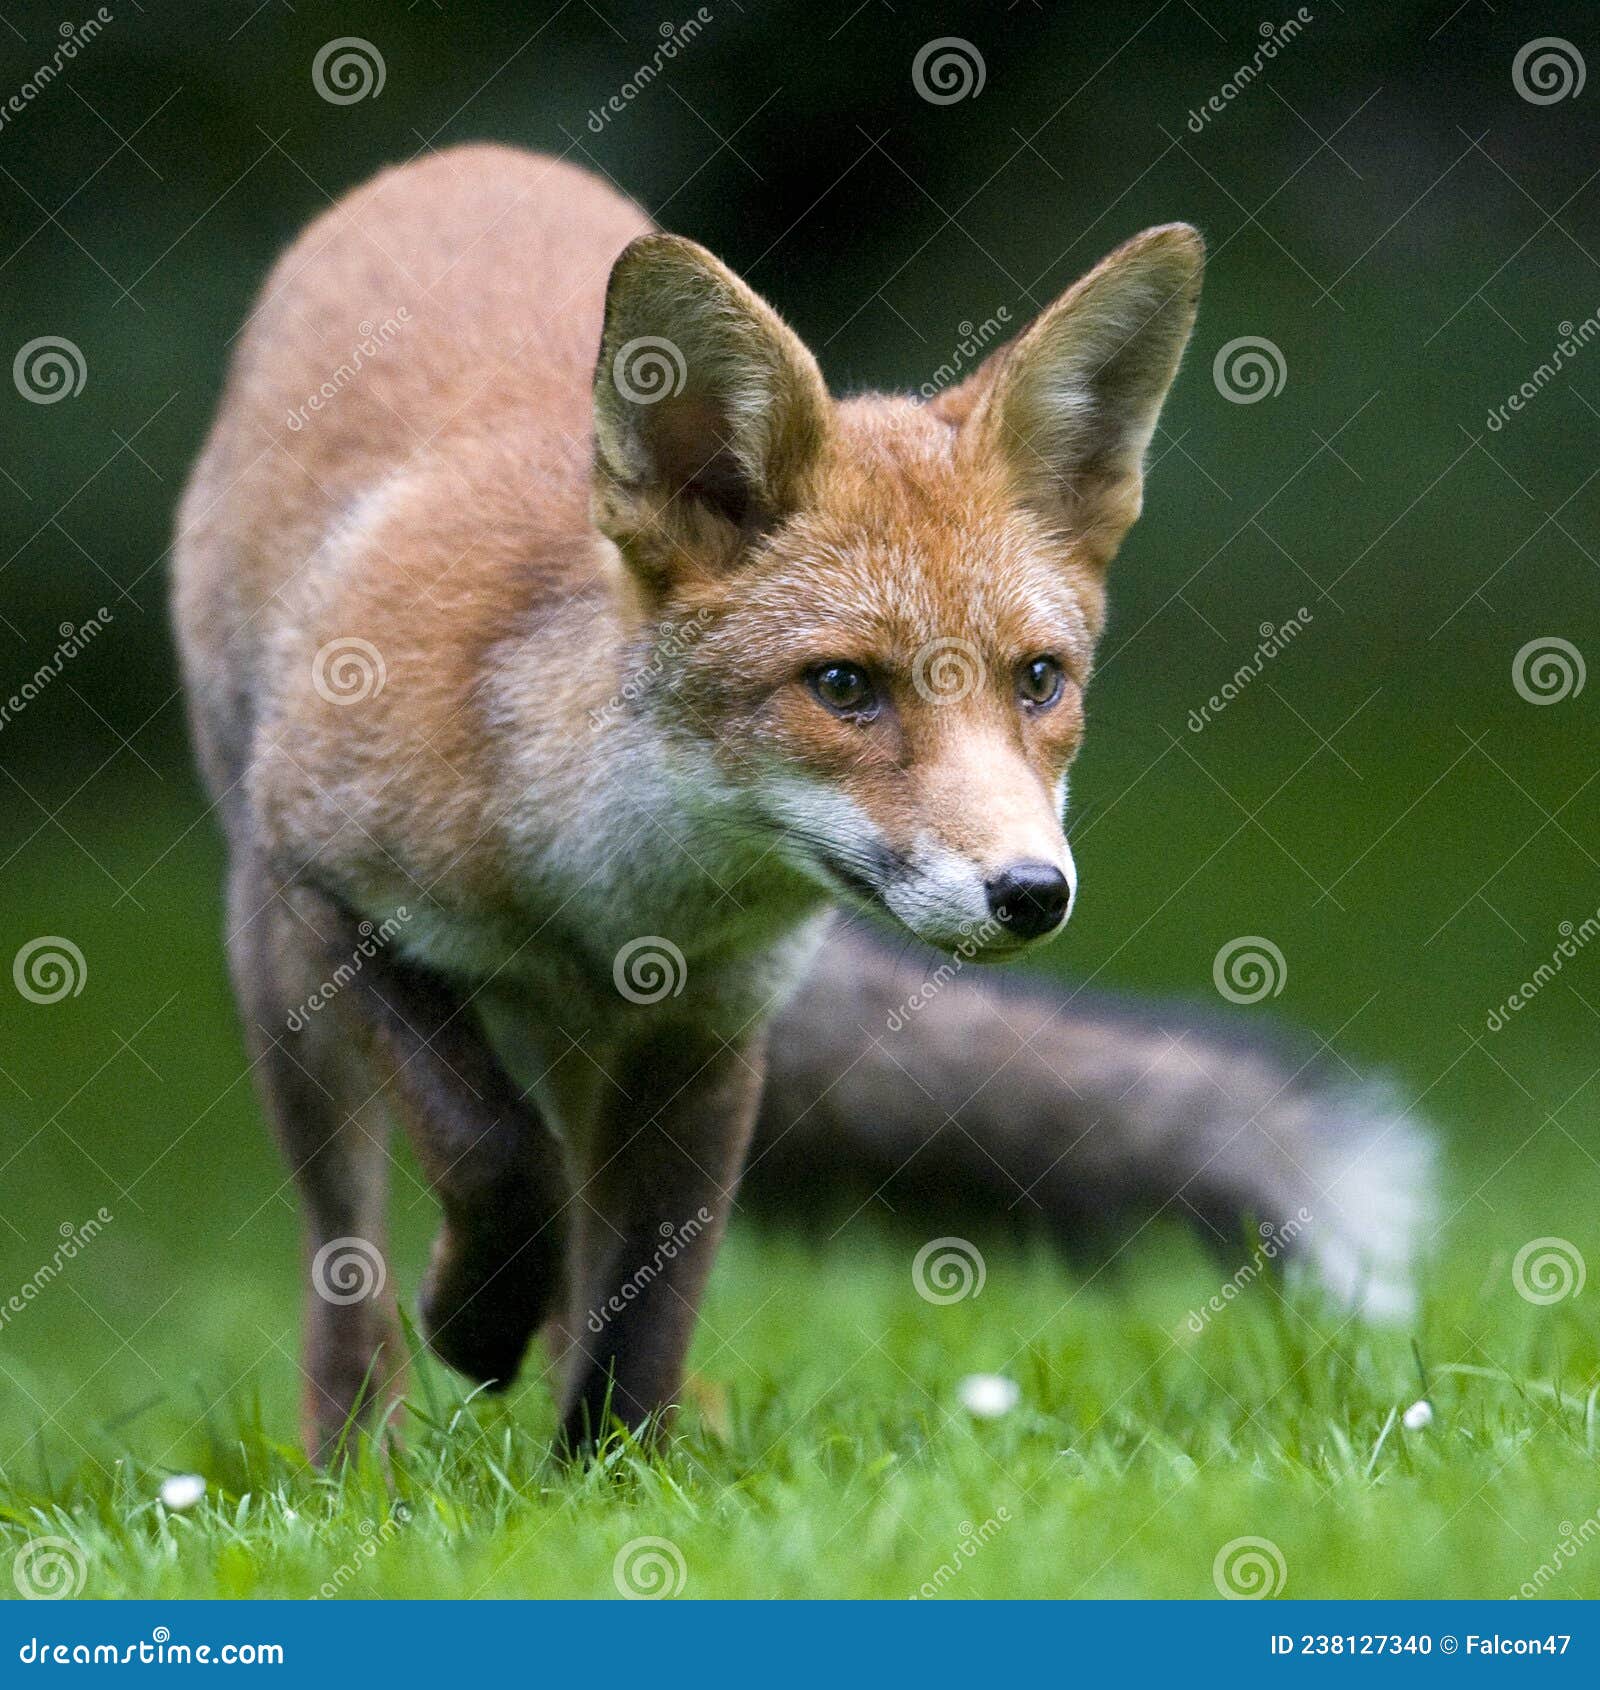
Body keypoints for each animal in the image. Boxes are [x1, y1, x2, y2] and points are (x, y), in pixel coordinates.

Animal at [172, 144, 1427, 1461]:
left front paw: (612, 1479)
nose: (1031, 892)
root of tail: (464, 161)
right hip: (277, 983)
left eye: (1039, 679)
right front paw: (476, 1322)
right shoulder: (319, 884)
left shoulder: (713, 1028)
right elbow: (489, 1152)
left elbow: (644, 1310)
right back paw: (352, 1460)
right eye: (842, 686)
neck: (602, 896)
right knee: (347, 1265)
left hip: (579, 1049)